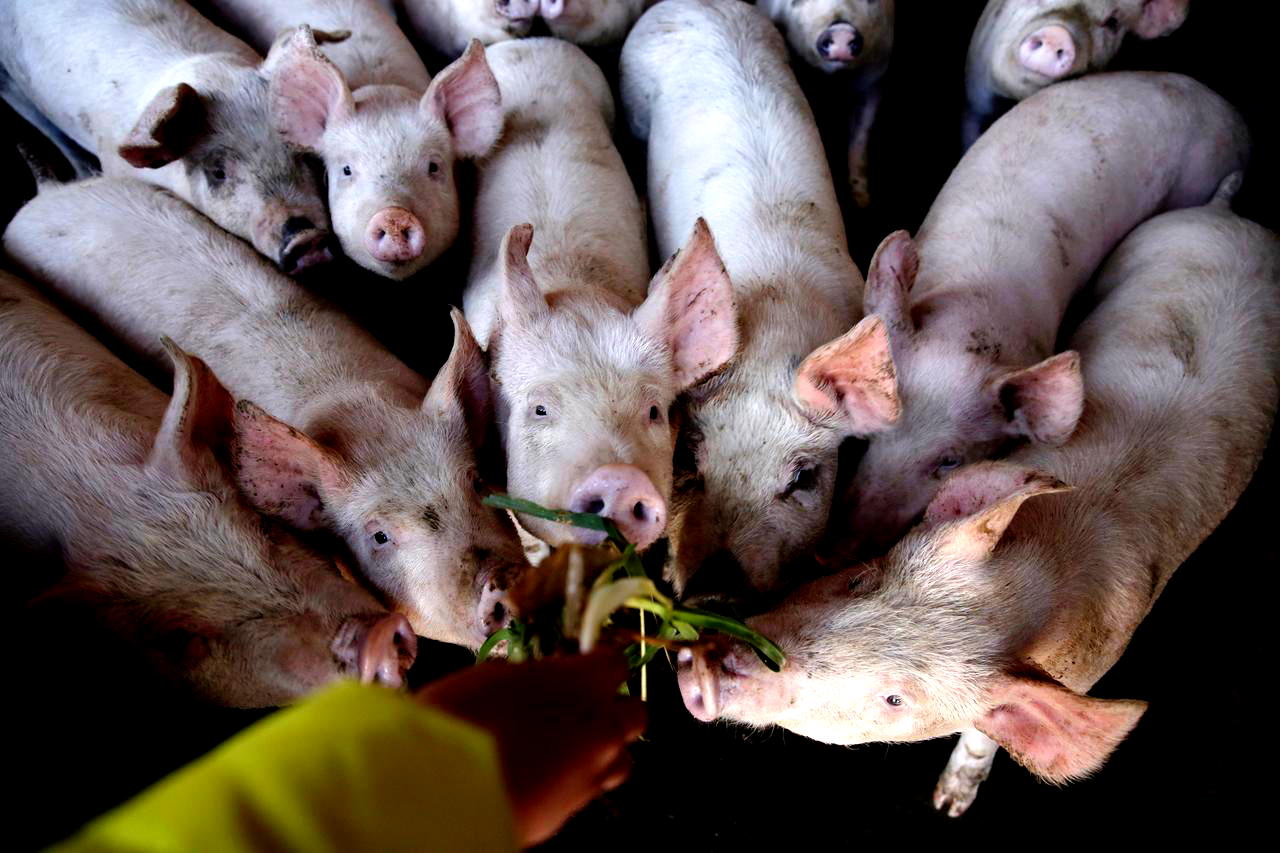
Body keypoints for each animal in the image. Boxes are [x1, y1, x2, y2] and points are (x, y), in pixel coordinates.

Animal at [679, 179, 1280, 814]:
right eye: (859, 580)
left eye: (895, 701)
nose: (705, 669)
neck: (1043, 571)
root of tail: (1232, 216)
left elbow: (982, 738)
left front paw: (948, 804)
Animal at [754, 0, 895, 207]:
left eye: (870, 0)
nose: (841, 30)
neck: (835, 81)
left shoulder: (877, 75)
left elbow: (862, 134)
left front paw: (862, 200)